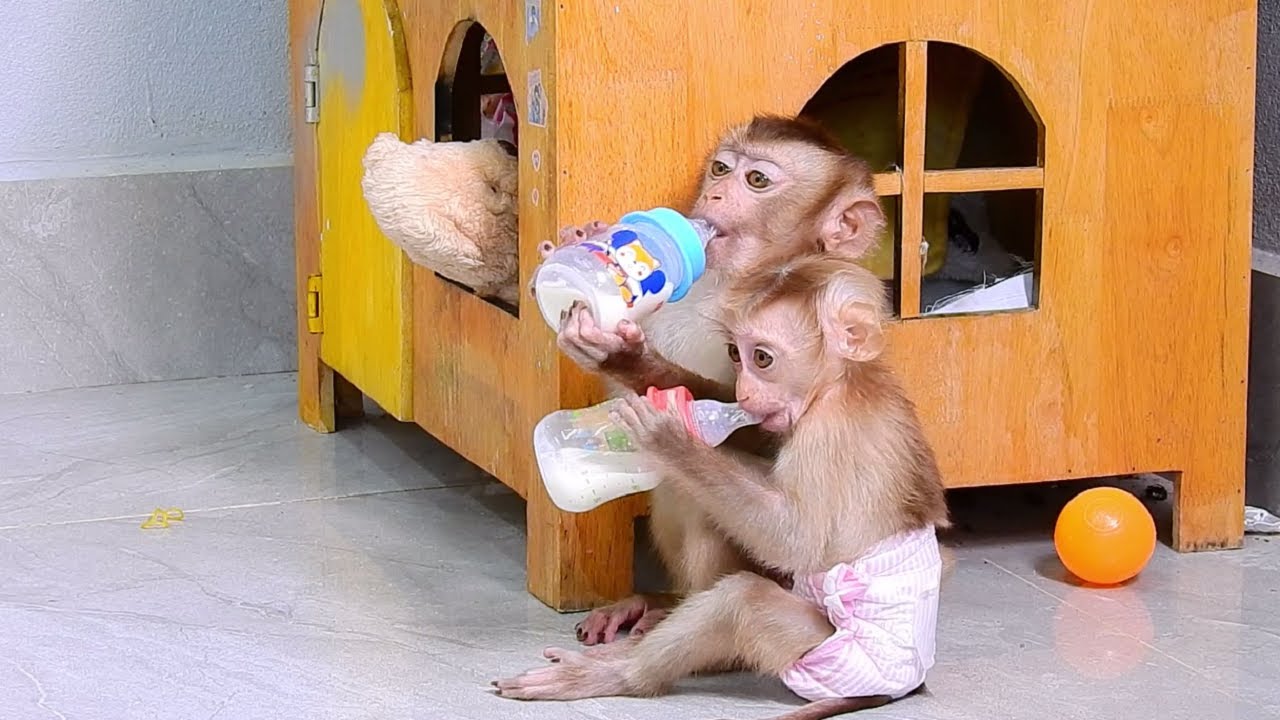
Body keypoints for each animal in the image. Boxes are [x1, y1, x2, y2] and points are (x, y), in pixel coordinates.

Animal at [495, 254, 950, 720]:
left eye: (762, 358)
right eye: (735, 354)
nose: (745, 392)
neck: (837, 386)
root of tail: (904, 683)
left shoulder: (830, 434)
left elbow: (799, 541)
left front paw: (670, 437)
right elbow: (758, 437)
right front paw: (620, 356)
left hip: (833, 660)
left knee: (741, 598)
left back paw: (620, 673)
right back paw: (656, 609)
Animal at [545, 115, 890, 645]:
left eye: (758, 180)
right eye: (722, 168)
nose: (714, 194)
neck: (737, 279)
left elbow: (769, 425)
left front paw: (627, 358)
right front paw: (583, 238)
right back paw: (657, 603)